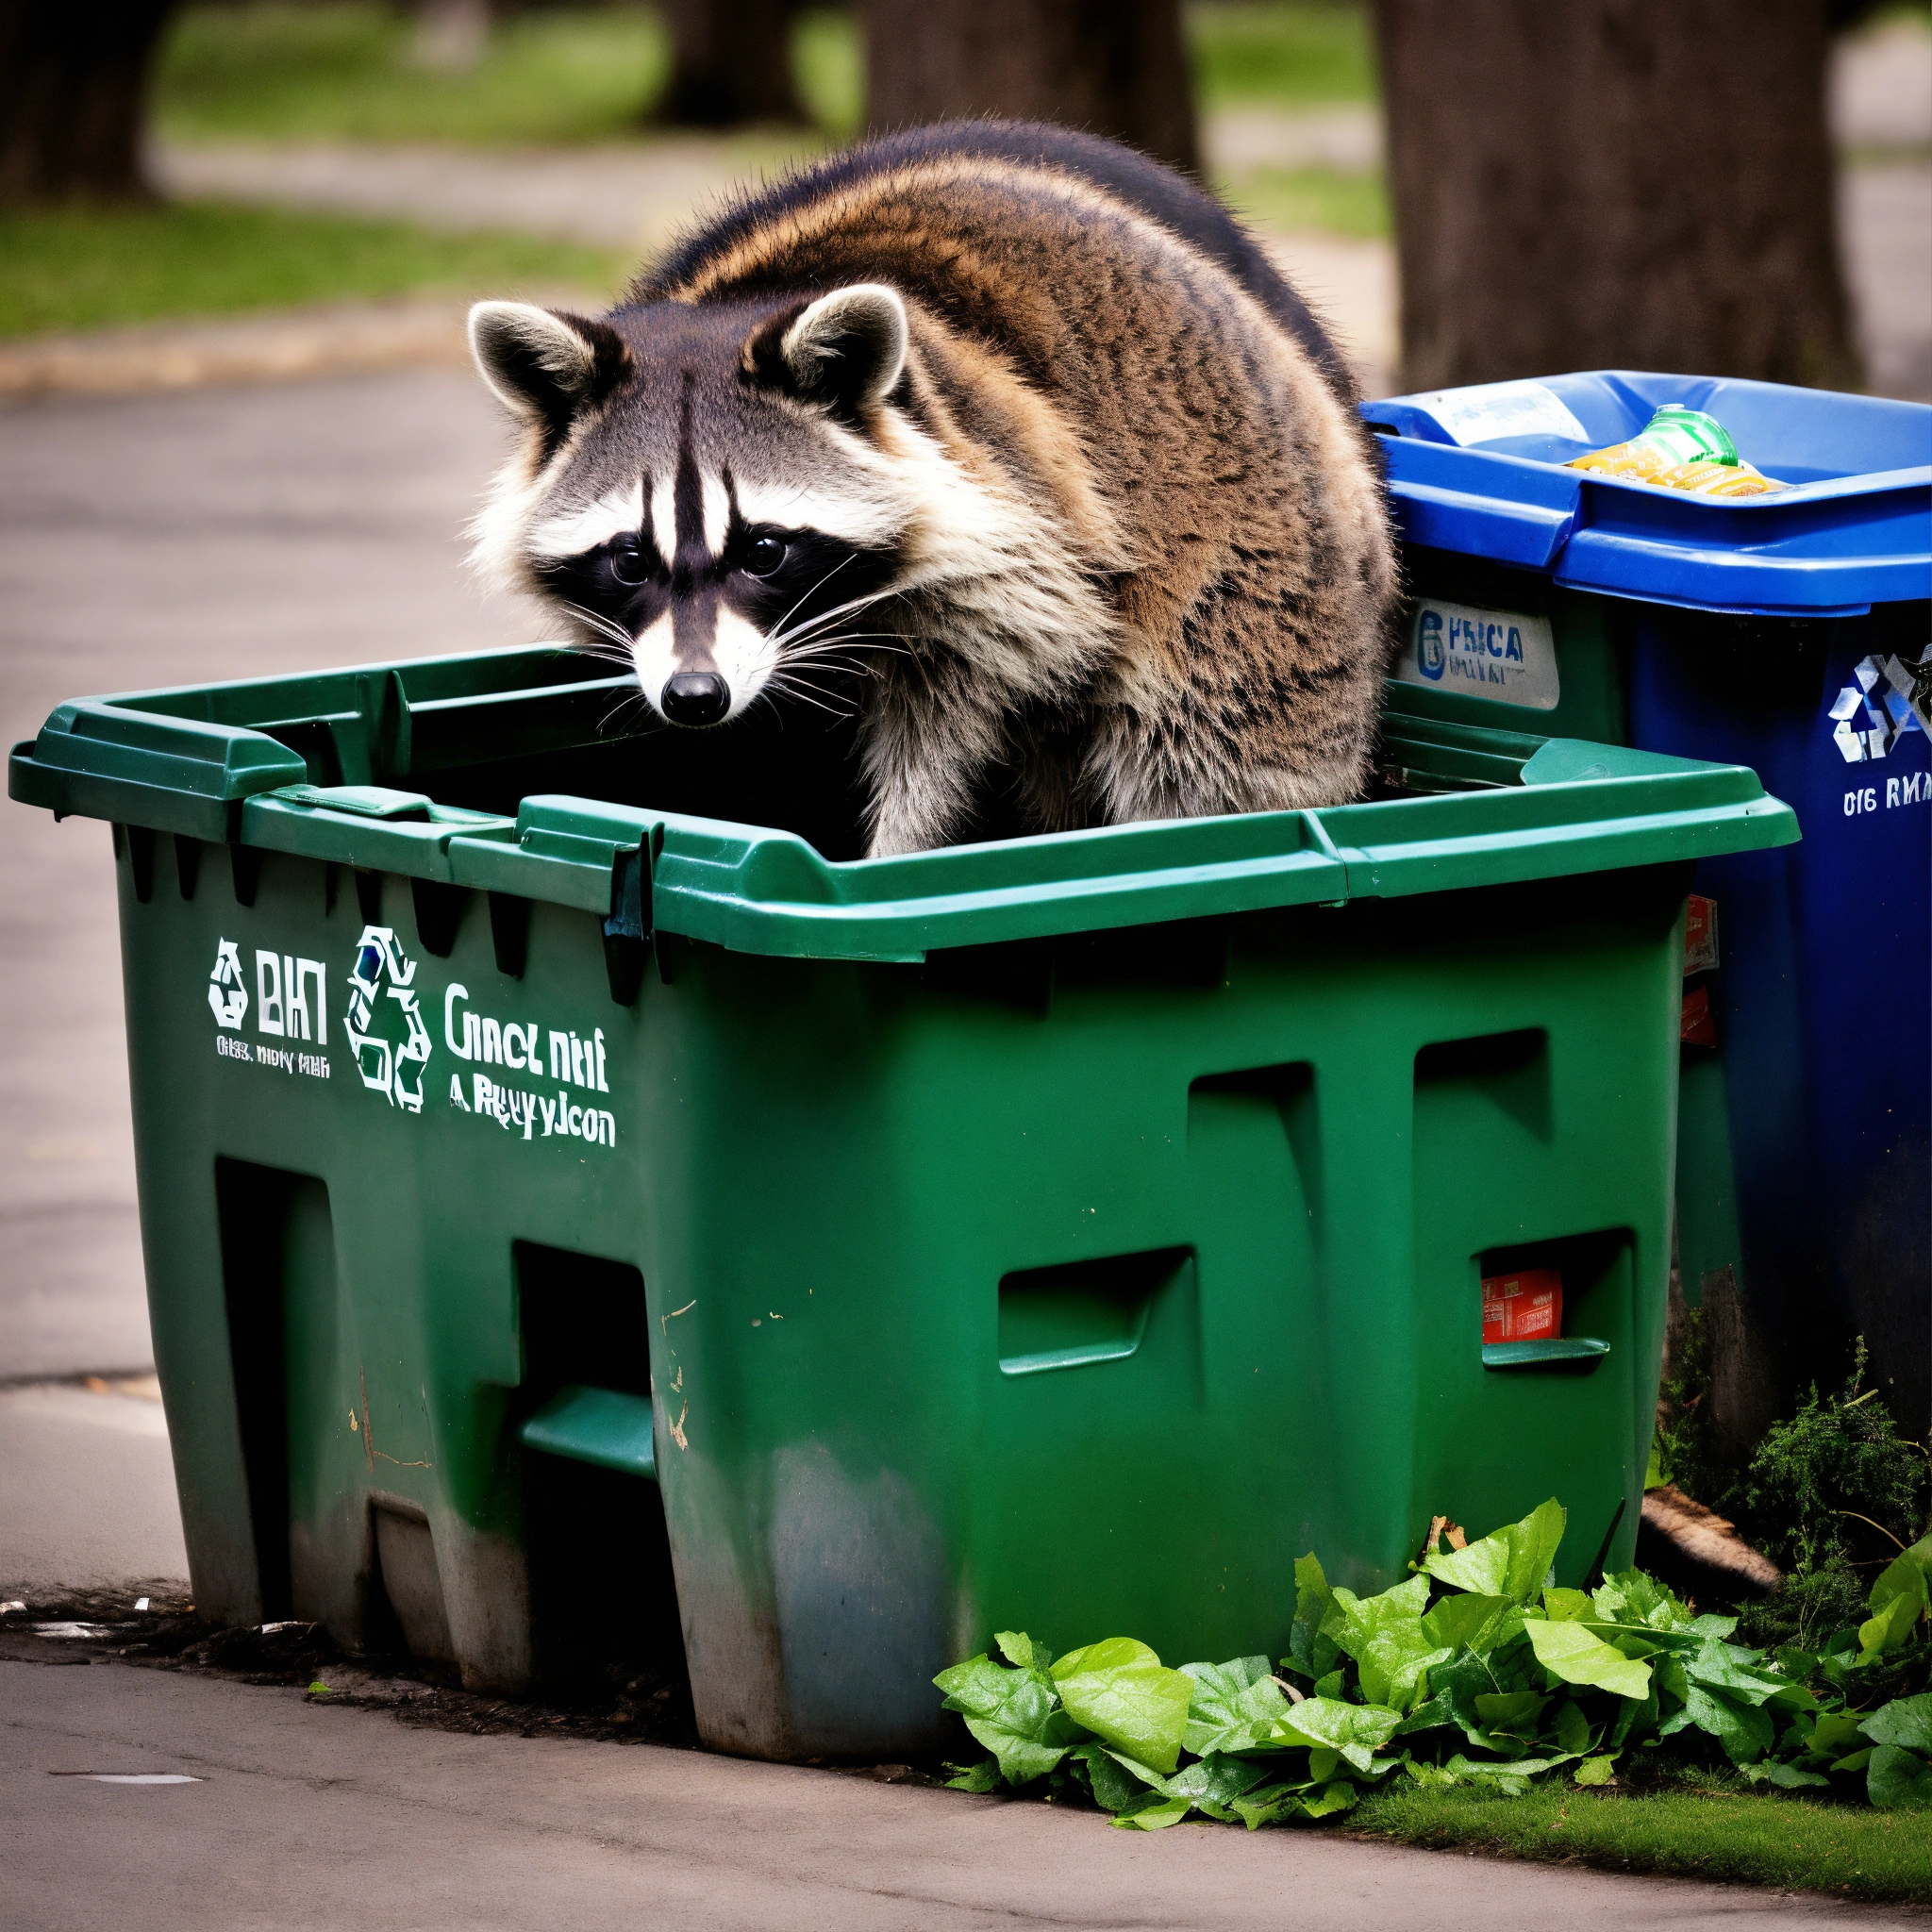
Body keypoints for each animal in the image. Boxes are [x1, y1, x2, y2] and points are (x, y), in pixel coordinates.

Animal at [468, 121, 1397, 856]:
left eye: (764, 551)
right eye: (630, 559)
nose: (696, 700)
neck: (739, 303)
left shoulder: (1026, 535)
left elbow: (953, 723)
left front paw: (897, 852)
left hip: (1257, 553)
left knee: (1209, 736)